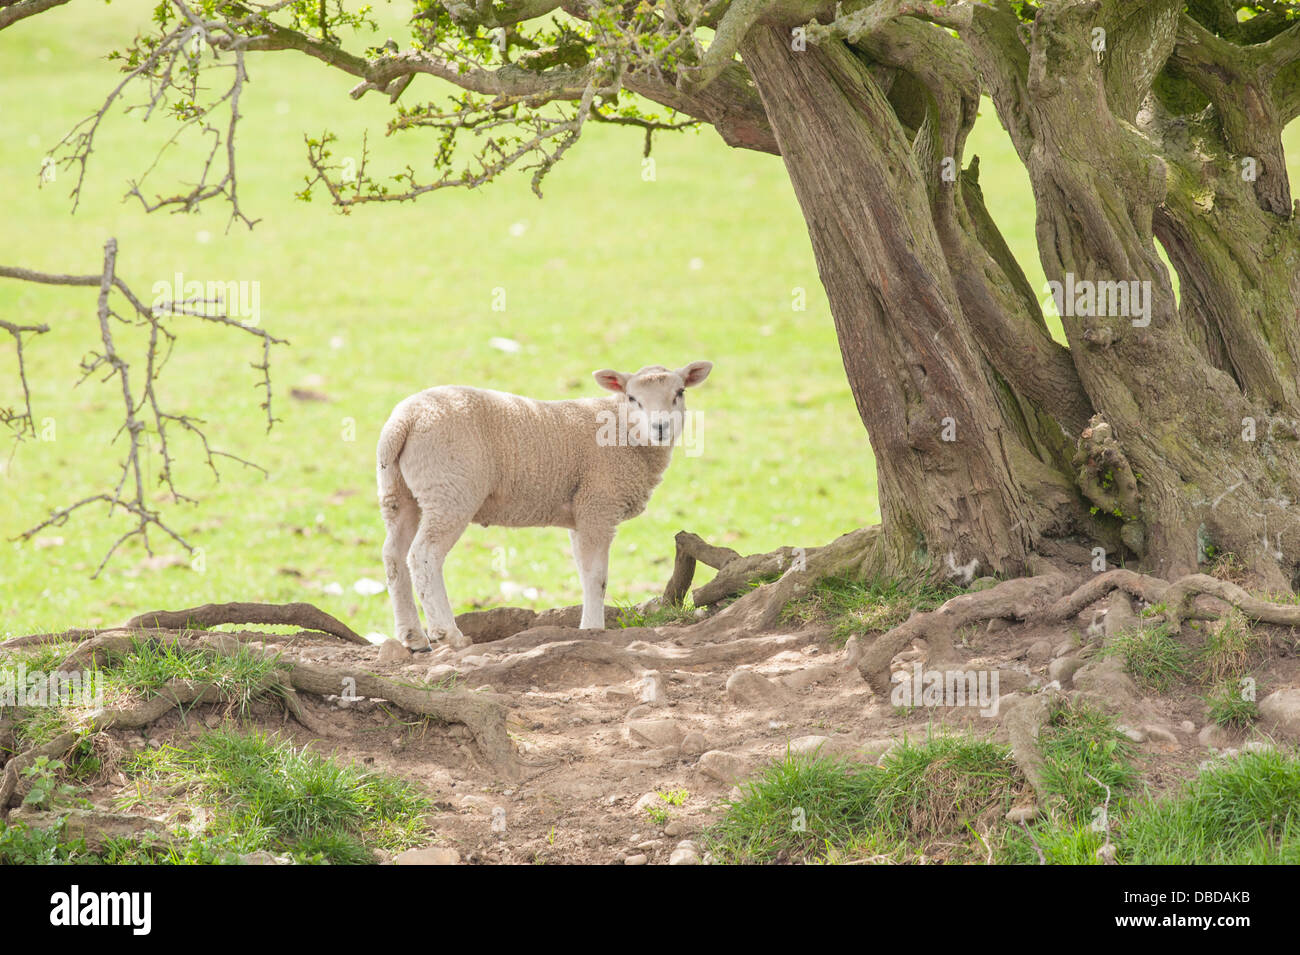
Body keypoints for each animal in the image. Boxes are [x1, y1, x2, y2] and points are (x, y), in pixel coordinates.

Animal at [377, 361, 713, 650]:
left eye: (679, 392)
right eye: (632, 397)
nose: (661, 427)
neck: (622, 432)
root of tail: (403, 421)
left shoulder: (583, 510)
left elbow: (583, 571)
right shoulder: (598, 504)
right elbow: (597, 576)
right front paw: (594, 628)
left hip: (398, 491)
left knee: (393, 556)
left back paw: (413, 636)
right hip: (450, 490)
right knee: (424, 555)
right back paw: (448, 633)